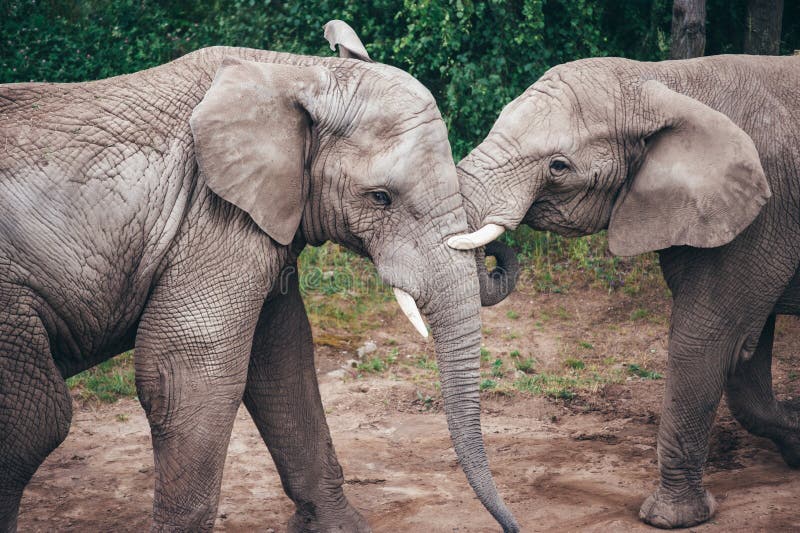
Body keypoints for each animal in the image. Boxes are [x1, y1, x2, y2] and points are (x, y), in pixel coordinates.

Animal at [0, 20, 518, 532]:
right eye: (380, 198)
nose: (510, 526)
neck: (295, 72)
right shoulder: (212, 214)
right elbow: (187, 372)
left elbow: (284, 358)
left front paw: (339, 528)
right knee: (38, 422)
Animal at [448, 54, 800, 528]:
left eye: (558, 167)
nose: (494, 254)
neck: (664, 79)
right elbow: (745, 357)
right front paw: (797, 437)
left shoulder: (767, 208)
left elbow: (708, 338)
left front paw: (671, 520)